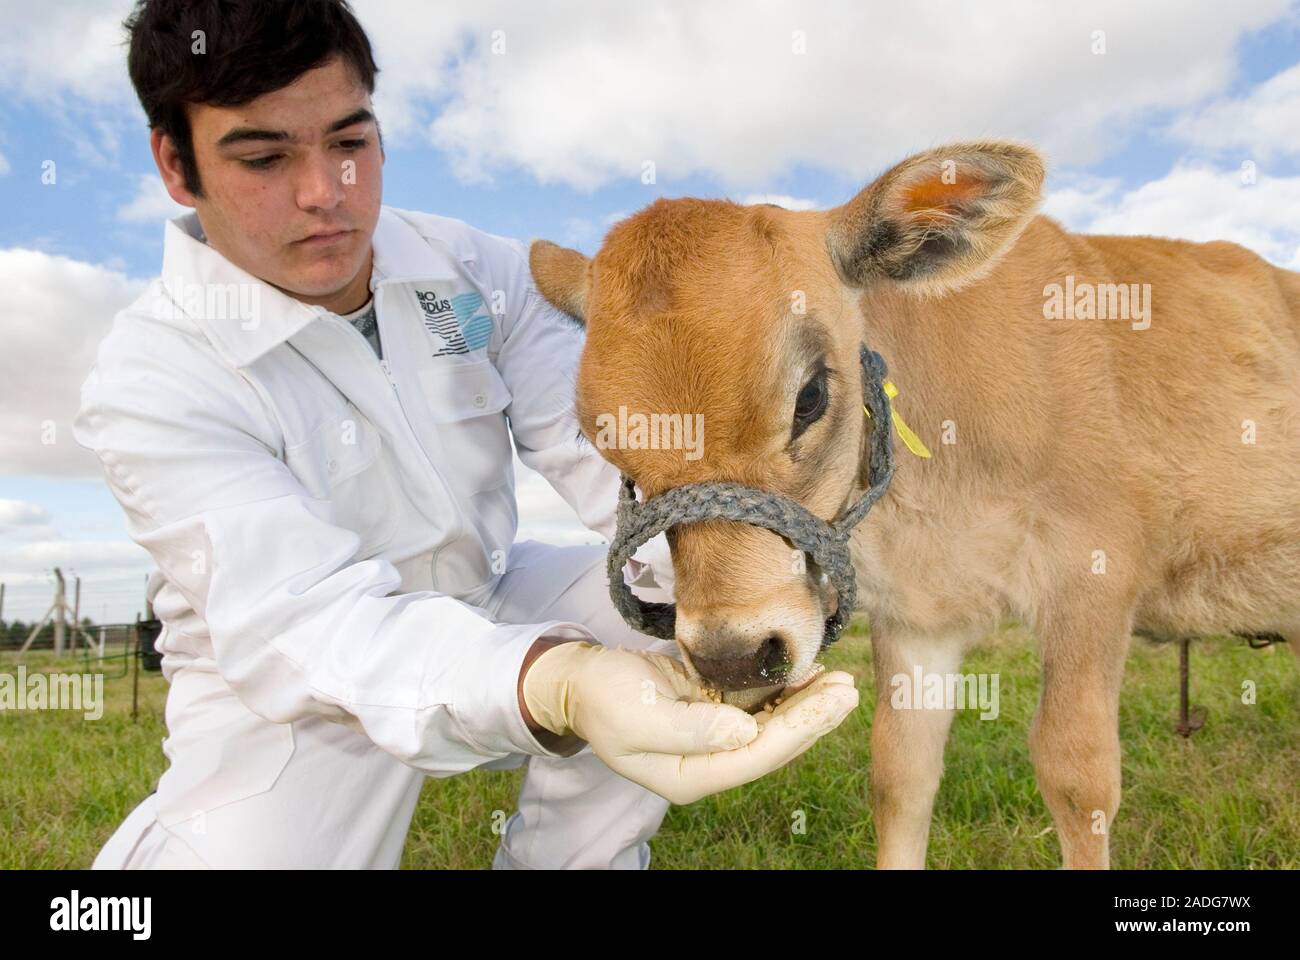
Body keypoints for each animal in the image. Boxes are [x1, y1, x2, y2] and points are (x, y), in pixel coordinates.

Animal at [528, 140, 1300, 868]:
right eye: (606, 450)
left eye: (811, 395)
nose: (734, 659)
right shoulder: (916, 616)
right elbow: (901, 774)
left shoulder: (1094, 571)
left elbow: (1076, 776)